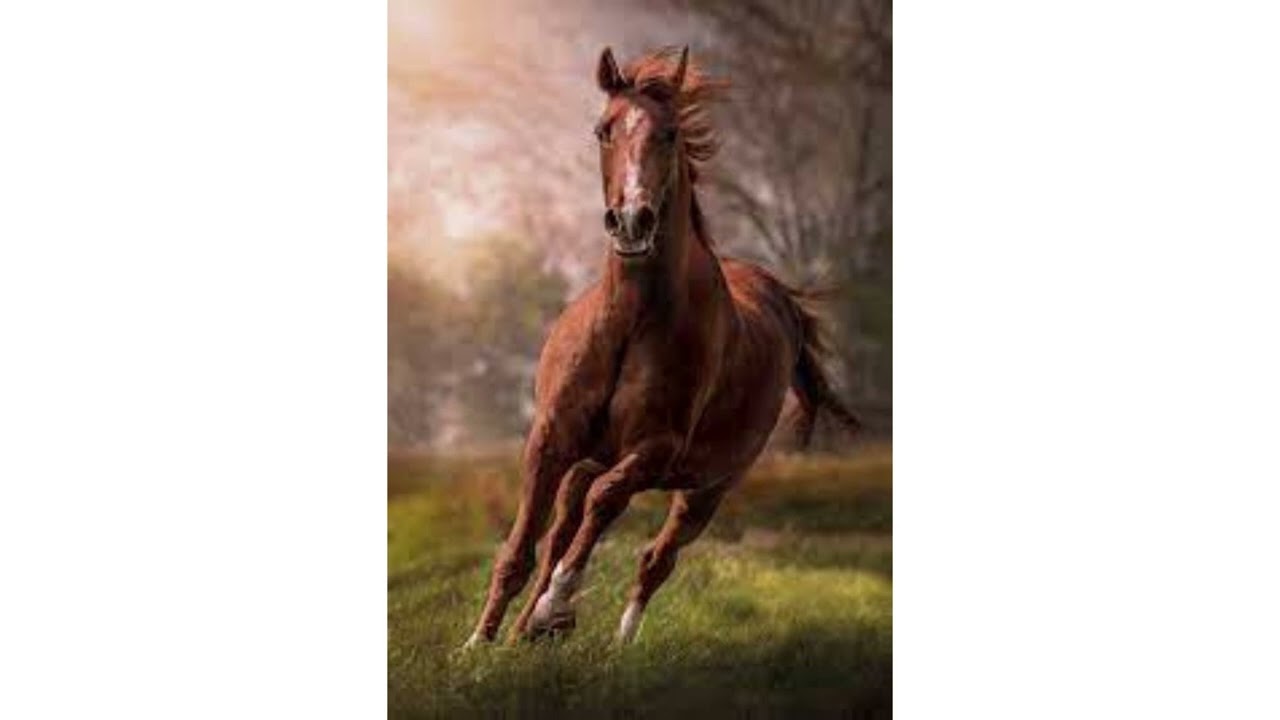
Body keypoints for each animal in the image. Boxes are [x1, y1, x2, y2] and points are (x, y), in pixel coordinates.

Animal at [465, 46, 861, 647]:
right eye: (603, 129)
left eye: (671, 132)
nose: (632, 221)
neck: (630, 322)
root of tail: (782, 298)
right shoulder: (550, 439)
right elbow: (521, 549)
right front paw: (478, 647)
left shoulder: (656, 449)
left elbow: (605, 503)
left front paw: (556, 605)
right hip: (601, 459)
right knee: (567, 522)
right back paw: (524, 634)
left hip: (707, 489)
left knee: (652, 556)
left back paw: (611, 640)